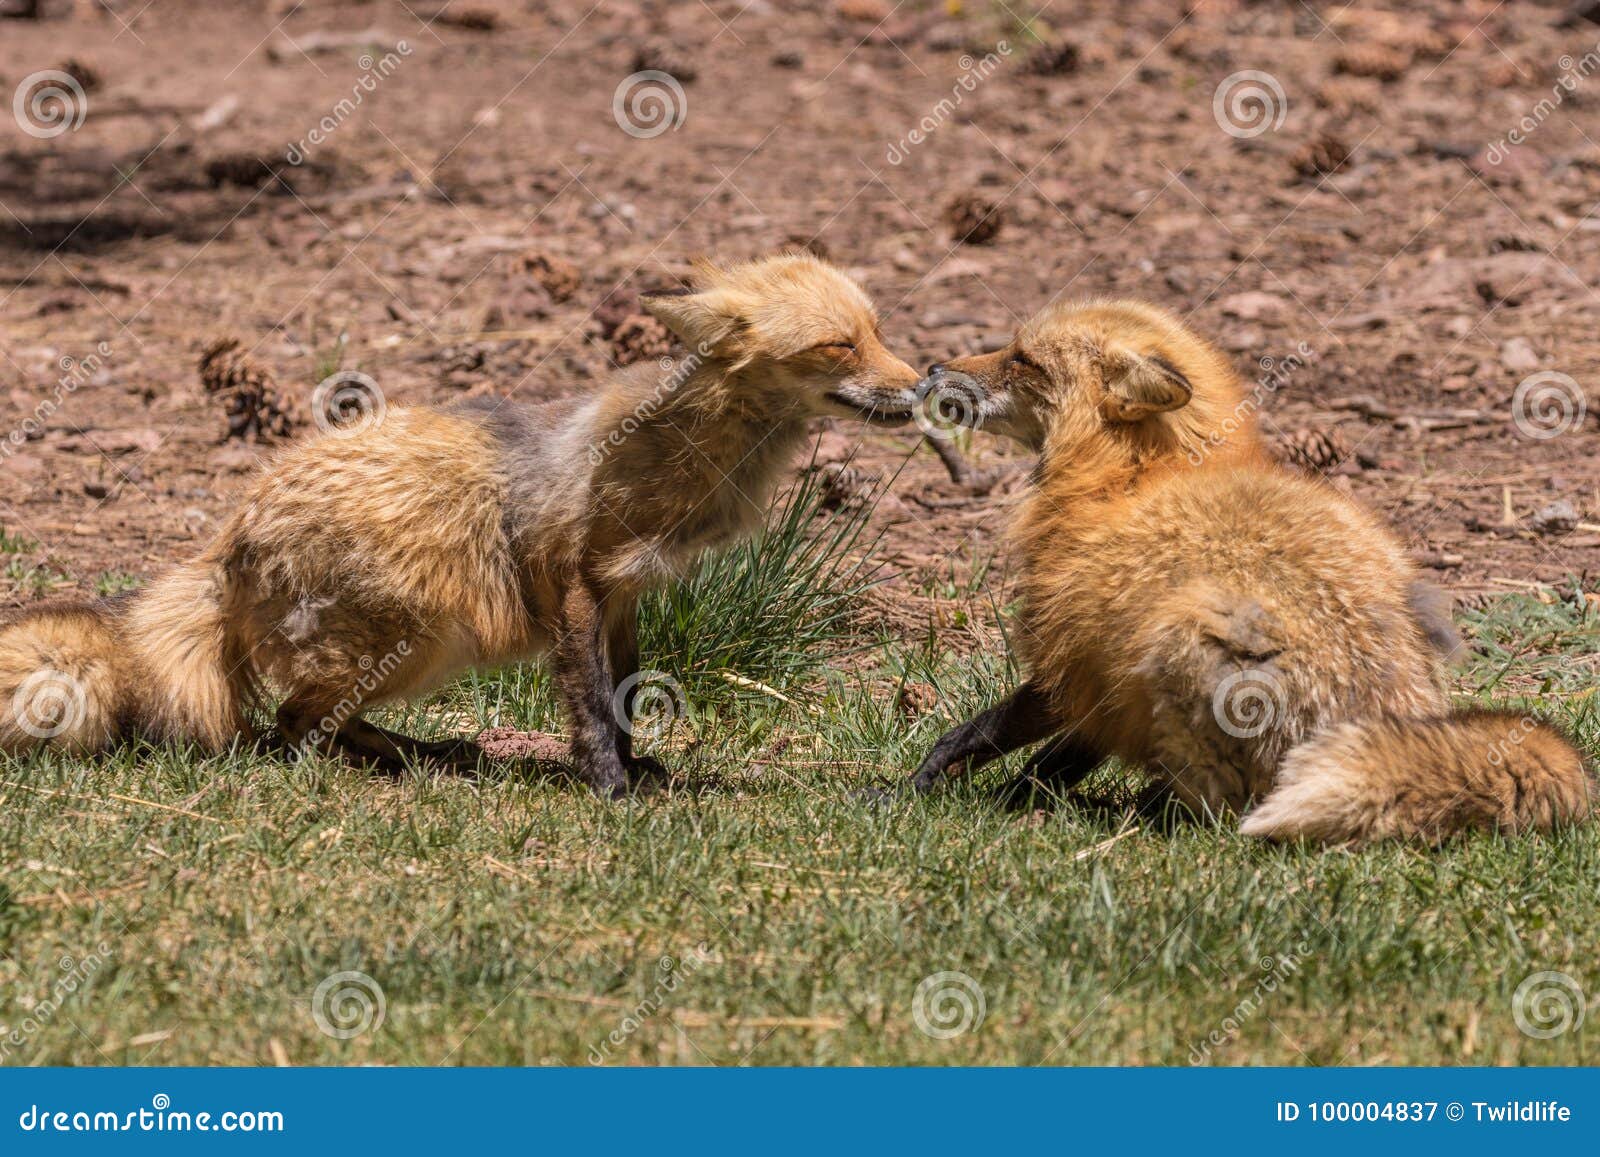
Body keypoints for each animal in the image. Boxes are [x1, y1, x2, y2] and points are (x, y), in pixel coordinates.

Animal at [0, 252, 922, 798]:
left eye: (877, 331)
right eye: (839, 346)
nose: (921, 386)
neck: (682, 452)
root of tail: (229, 540)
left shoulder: (623, 592)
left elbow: (626, 688)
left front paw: (637, 769)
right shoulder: (573, 581)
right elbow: (593, 702)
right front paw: (609, 788)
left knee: (315, 720)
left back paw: (426, 751)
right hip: (424, 632)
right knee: (288, 727)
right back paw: (385, 764)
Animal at [906, 298, 1595, 845]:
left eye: (1023, 359)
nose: (933, 370)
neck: (1126, 479)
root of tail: (1385, 711)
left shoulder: (1075, 658)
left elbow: (992, 734)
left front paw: (941, 788)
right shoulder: (1104, 680)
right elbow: (1049, 758)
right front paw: (970, 794)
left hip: (1190, 642)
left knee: (1223, 812)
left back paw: (1148, 815)